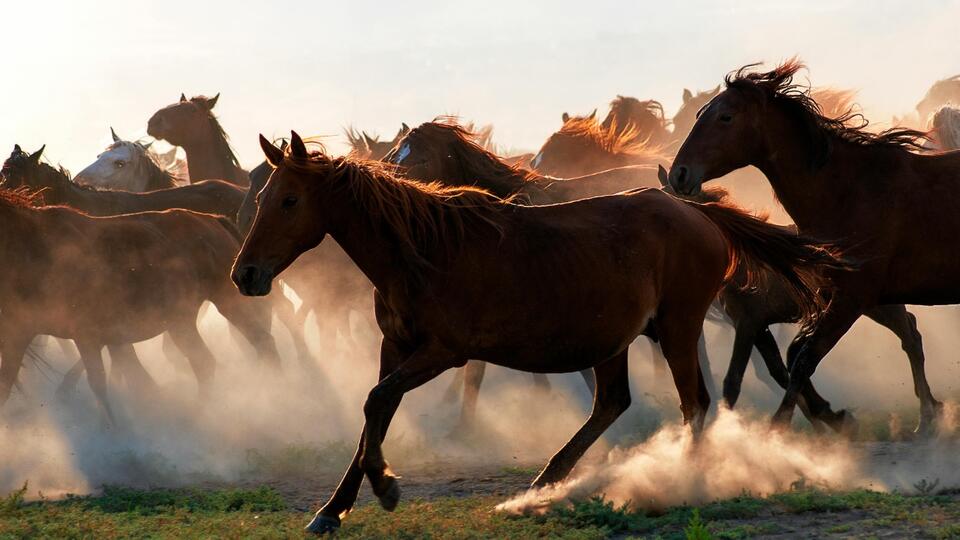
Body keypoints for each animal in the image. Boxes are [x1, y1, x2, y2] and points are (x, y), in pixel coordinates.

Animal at [233, 131, 842, 532]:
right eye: (263, 198)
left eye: (289, 200)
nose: (246, 274)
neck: (424, 251)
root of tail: (696, 212)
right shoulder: (395, 348)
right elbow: (373, 413)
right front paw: (332, 509)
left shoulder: (443, 352)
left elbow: (377, 403)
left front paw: (385, 488)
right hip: (615, 339)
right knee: (613, 402)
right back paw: (546, 483)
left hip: (676, 328)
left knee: (694, 402)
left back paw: (681, 481)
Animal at [668, 59, 950, 434]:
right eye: (699, 114)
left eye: (725, 117)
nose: (679, 174)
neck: (850, 190)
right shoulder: (781, 317)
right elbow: (787, 363)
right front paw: (826, 417)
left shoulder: (832, 303)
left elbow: (786, 366)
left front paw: (785, 429)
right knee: (910, 334)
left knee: (910, 335)